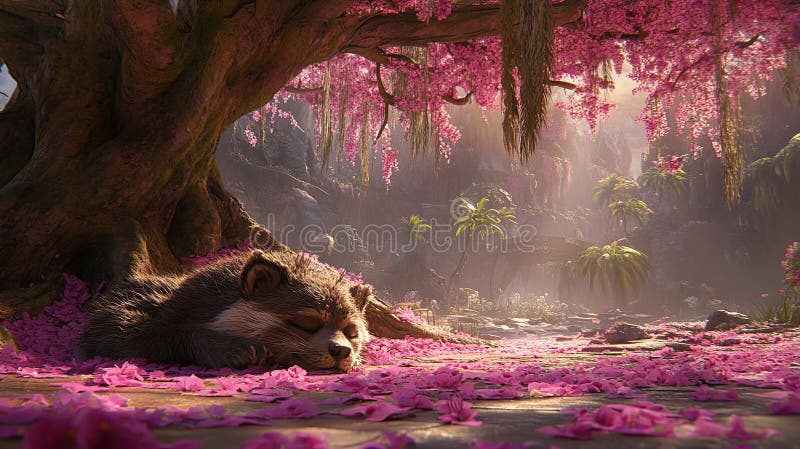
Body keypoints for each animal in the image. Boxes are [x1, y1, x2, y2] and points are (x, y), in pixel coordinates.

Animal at [78, 250, 371, 371]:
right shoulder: (140, 305)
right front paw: (230, 347)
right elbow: (115, 327)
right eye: (305, 323)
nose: (341, 351)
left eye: (351, 332)